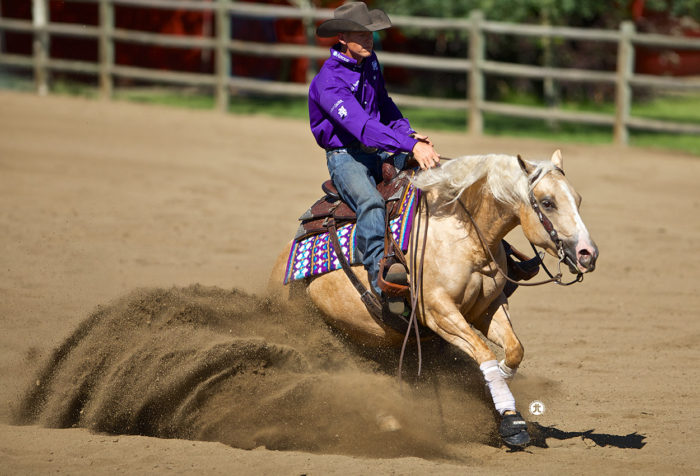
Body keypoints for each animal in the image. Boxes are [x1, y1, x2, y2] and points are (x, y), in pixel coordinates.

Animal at [268, 149, 598, 448]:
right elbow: (484, 353)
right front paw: (509, 418)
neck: (464, 234)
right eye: (548, 203)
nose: (588, 254)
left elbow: (515, 349)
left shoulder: (488, 308)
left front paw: (502, 390)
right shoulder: (438, 312)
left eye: (579, 200)